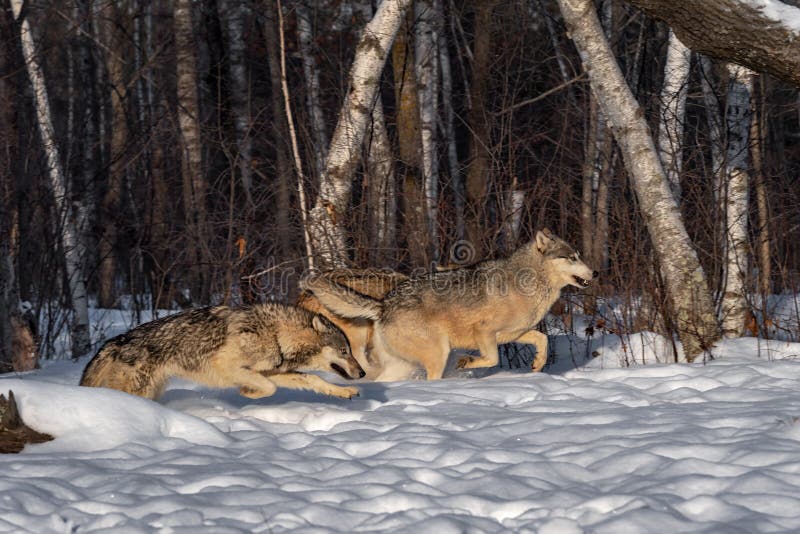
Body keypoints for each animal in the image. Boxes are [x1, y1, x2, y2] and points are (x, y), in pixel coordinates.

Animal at [80, 303, 364, 400]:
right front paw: (248, 393)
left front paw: (344, 392)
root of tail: (114, 342)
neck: (277, 335)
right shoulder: (227, 367)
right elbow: (269, 388)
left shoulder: (273, 371)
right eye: (344, 351)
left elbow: (312, 379)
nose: (362, 373)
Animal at [301, 229, 596, 379]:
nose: (594, 273)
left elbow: (542, 340)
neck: (527, 282)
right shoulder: (484, 332)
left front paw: (537, 365)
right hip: (437, 354)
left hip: (402, 364)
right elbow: (490, 358)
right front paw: (467, 362)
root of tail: (383, 305)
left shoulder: (514, 334)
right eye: (571, 257)